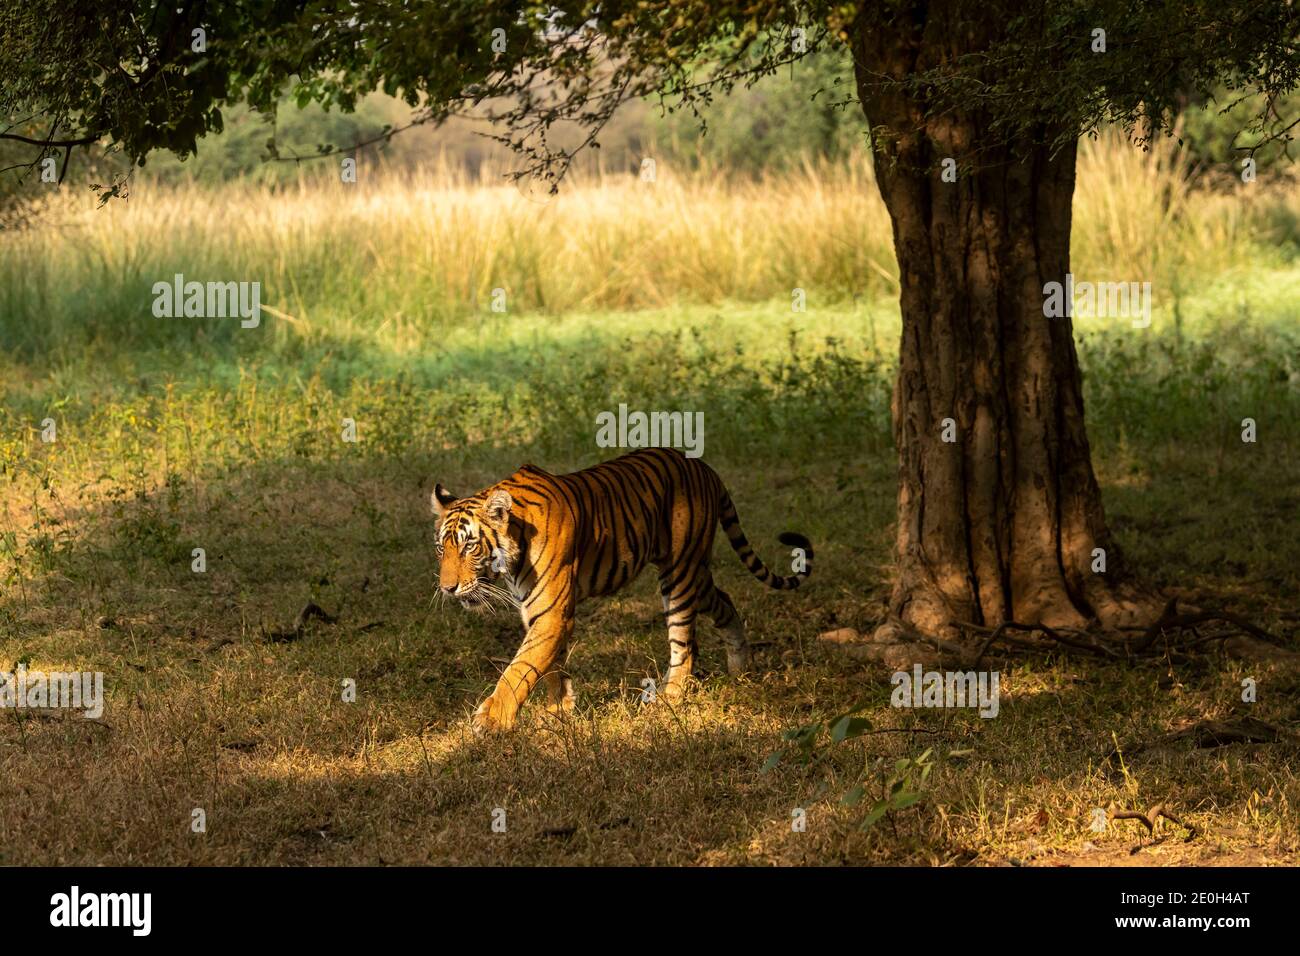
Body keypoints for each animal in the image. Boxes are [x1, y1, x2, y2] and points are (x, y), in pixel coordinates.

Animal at [431, 447, 813, 734]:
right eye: (441, 548)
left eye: (469, 547)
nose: (447, 588)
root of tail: (704, 466)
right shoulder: (538, 612)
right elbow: (549, 666)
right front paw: (560, 713)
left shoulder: (552, 613)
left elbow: (520, 667)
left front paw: (492, 720)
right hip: (694, 572)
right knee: (724, 601)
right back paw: (738, 667)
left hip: (679, 573)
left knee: (685, 642)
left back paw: (670, 696)